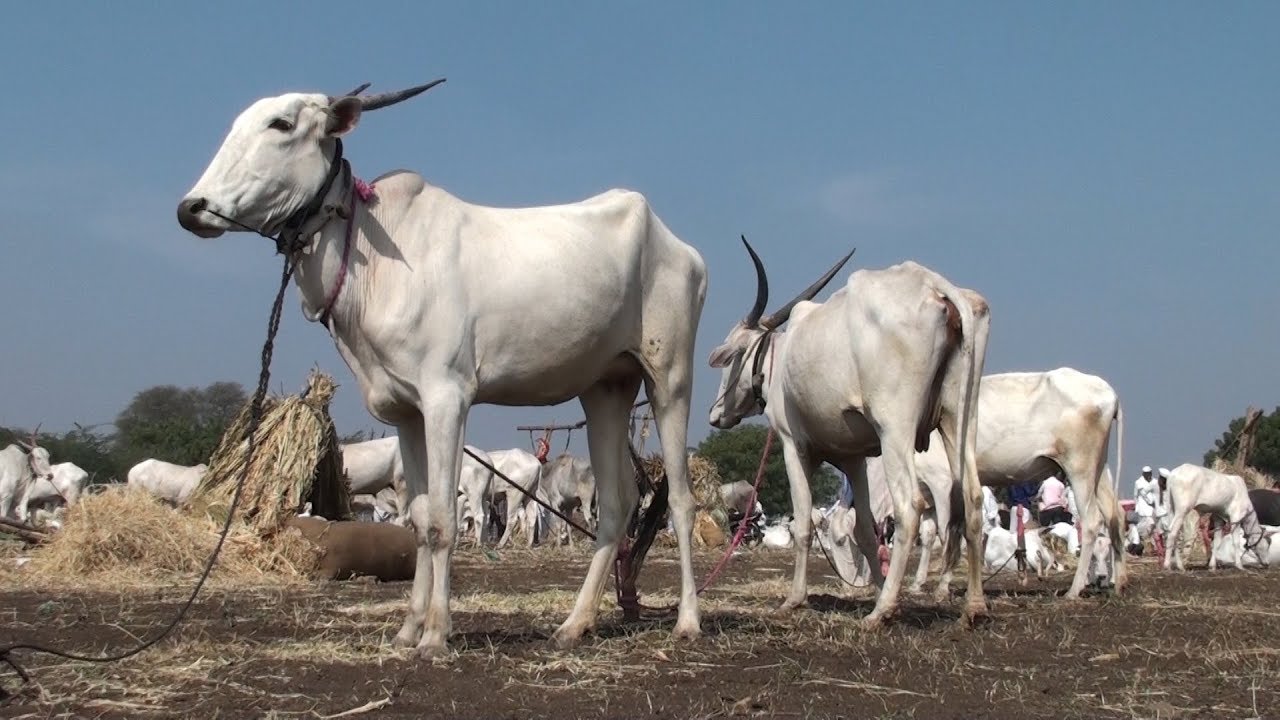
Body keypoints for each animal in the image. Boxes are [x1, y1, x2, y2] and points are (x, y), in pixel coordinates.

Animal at [177, 81, 708, 656]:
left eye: (281, 124)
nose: (192, 208)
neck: (373, 254)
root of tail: (679, 245)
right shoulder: (405, 412)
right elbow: (418, 518)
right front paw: (409, 627)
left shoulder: (446, 398)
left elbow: (444, 520)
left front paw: (436, 633)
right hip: (606, 386)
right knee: (616, 503)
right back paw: (575, 623)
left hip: (669, 378)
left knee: (680, 500)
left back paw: (687, 621)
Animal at [708, 238, 991, 628]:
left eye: (733, 354)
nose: (716, 414)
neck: (779, 358)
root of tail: (935, 286)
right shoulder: (854, 458)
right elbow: (865, 532)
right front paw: (878, 587)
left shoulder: (794, 446)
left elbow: (803, 523)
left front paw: (795, 599)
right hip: (957, 419)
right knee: (973, 497)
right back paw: (973, 606)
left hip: (895, 427)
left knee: (910, 506)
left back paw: (881, 612)